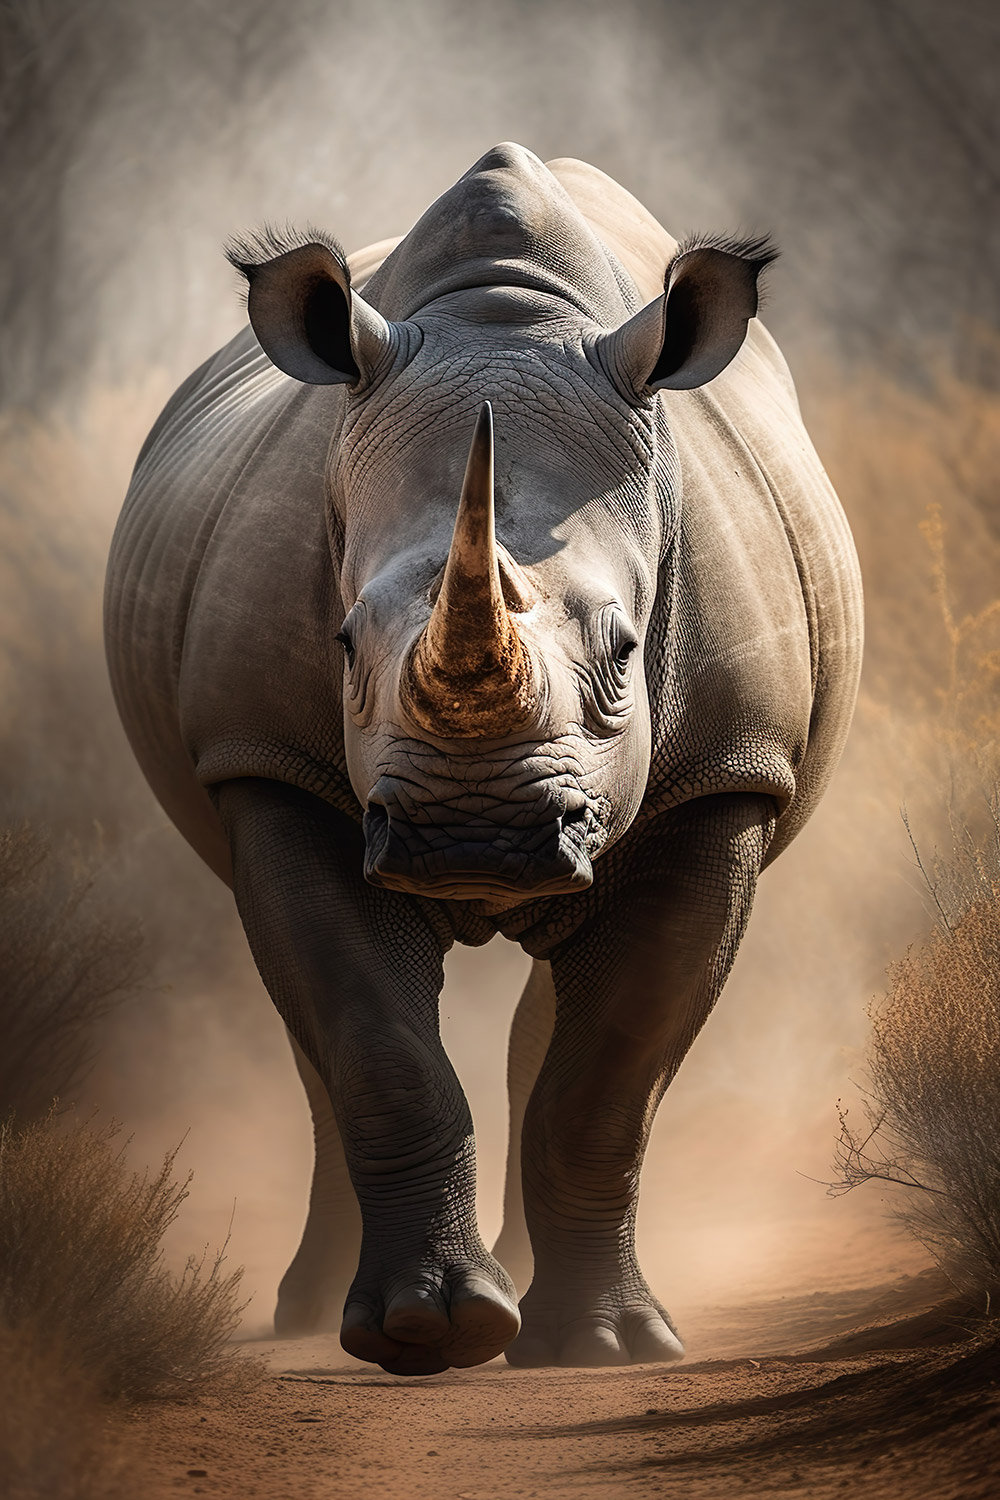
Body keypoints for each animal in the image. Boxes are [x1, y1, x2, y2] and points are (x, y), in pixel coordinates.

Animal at [105, 143, 862, 1375]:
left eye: (625, 652)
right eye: (344, 644)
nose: (473, 837)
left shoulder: (725, 775)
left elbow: (611, 1072)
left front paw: (605, 1348)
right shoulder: (268, 763)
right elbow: (375, 1042)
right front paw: (428, 1332)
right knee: (316, 1036)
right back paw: (310, 1311)